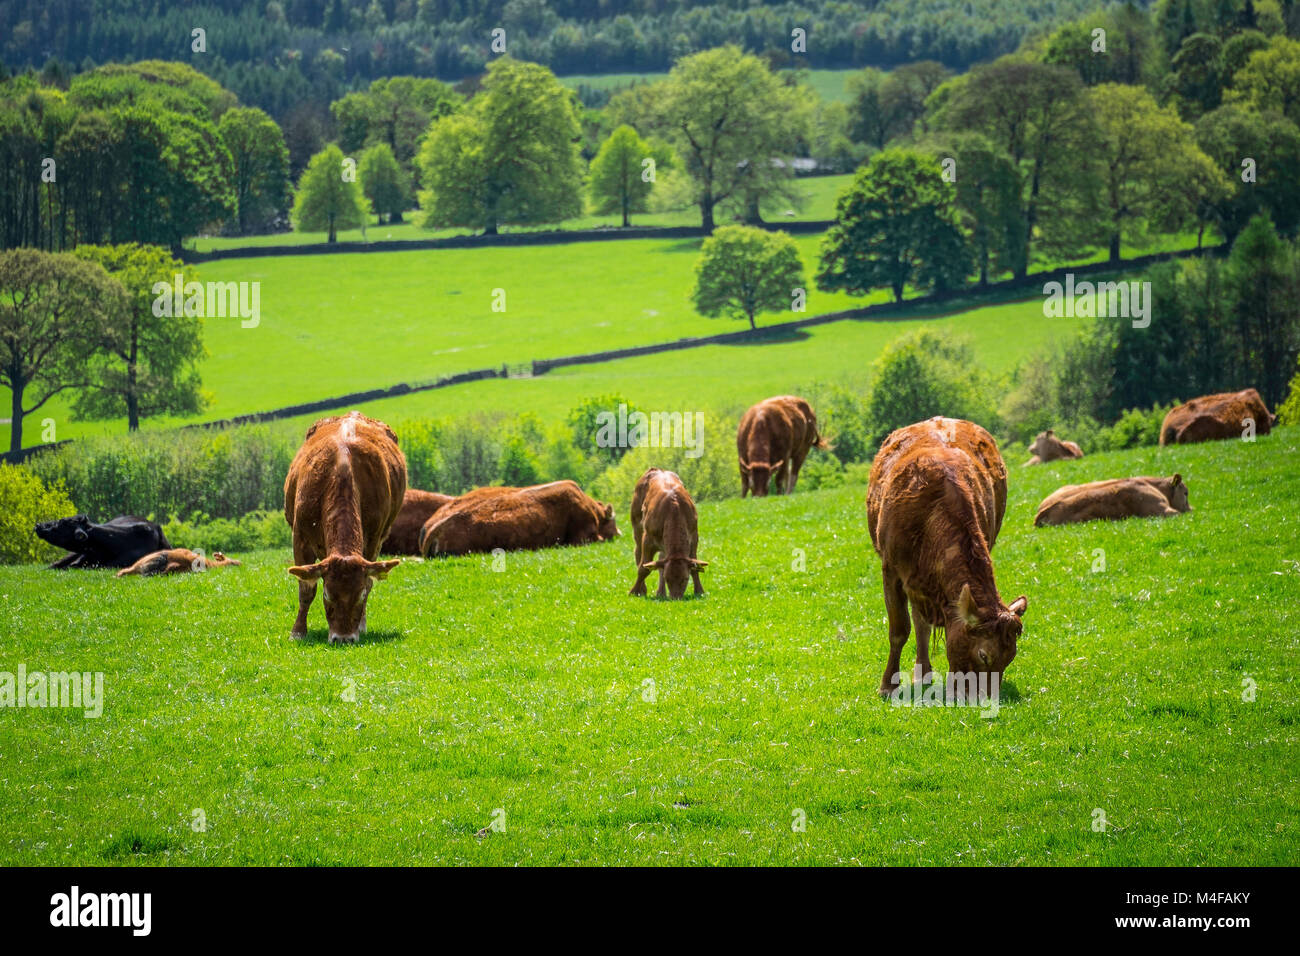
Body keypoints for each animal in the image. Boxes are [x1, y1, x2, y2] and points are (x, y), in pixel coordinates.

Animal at [283, 411, 406, 644]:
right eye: (327, 595)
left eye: (359, 597)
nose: (343, 638)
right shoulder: (300, 536)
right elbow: (306, 588)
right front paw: (298, 631)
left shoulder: (373, 539)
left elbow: (368, 582)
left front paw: (360, 626)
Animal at [628, 468, 707, 599]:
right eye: (667, 579)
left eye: (685, 579)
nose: (676, 598)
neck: (674, 510)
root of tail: (655, 469)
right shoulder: (648, 539)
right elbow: (643, 568)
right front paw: (634, 591)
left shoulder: (694, 535)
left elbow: (694, 565)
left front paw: (699, 591)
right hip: (637, 527)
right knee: (638, 554)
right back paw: (643, 589)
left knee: (660, 559)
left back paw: (661, 592)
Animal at [866, 417, 1028, 698]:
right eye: (984, 655)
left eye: (1009, 657)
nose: (985, 698)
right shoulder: (891, 571)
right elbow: (899, 630)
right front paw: (888, 684)